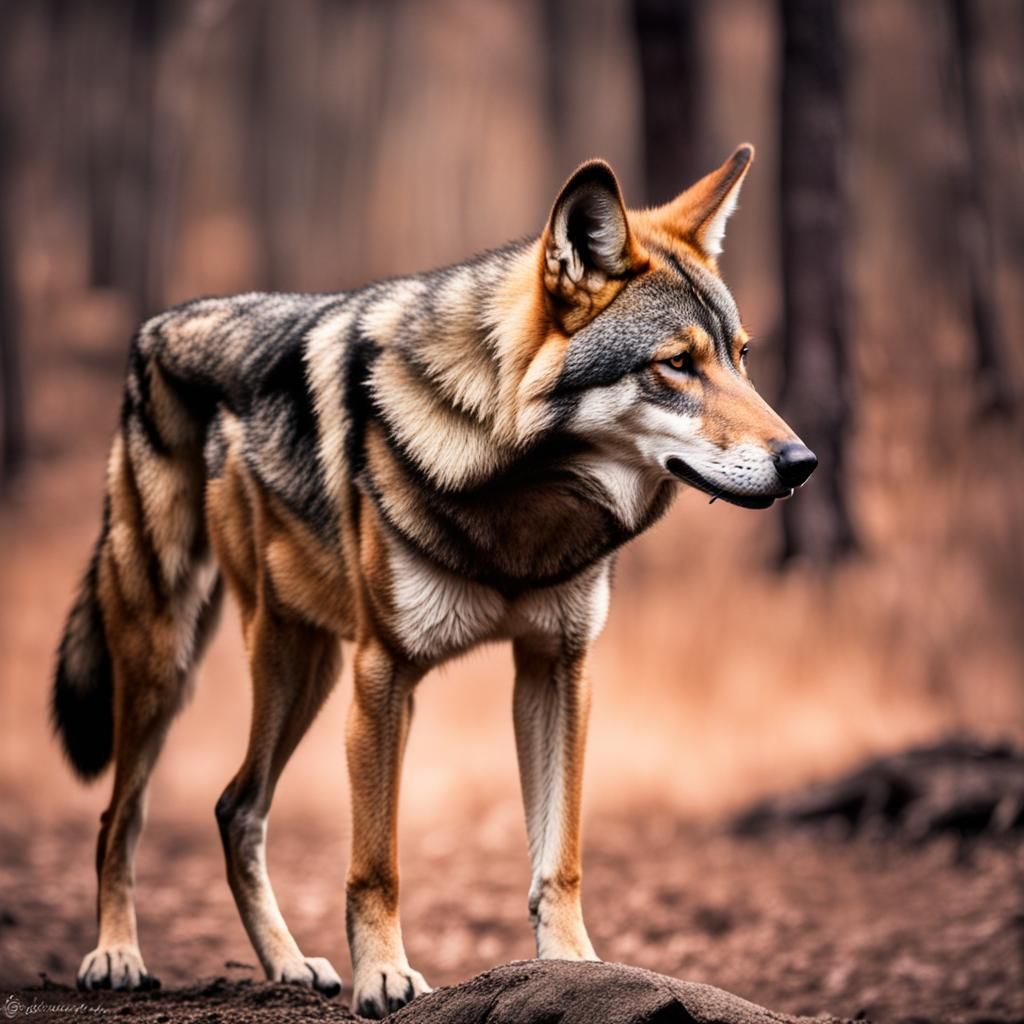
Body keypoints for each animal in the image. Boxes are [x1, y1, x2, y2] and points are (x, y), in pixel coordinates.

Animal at [52, 144, 815, 1017]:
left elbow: (559, 857)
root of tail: (154, 326)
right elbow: (375, 861)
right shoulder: (382, 675)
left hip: (303, 667)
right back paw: (116, 954)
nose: (802, 462)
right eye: (677, 365)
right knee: (122, 815)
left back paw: (289, 966)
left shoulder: (557, 669)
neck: (525, 498)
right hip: (180, 662)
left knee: (234, 806)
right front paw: (385, 975)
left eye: (740, 357)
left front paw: (575, 966)